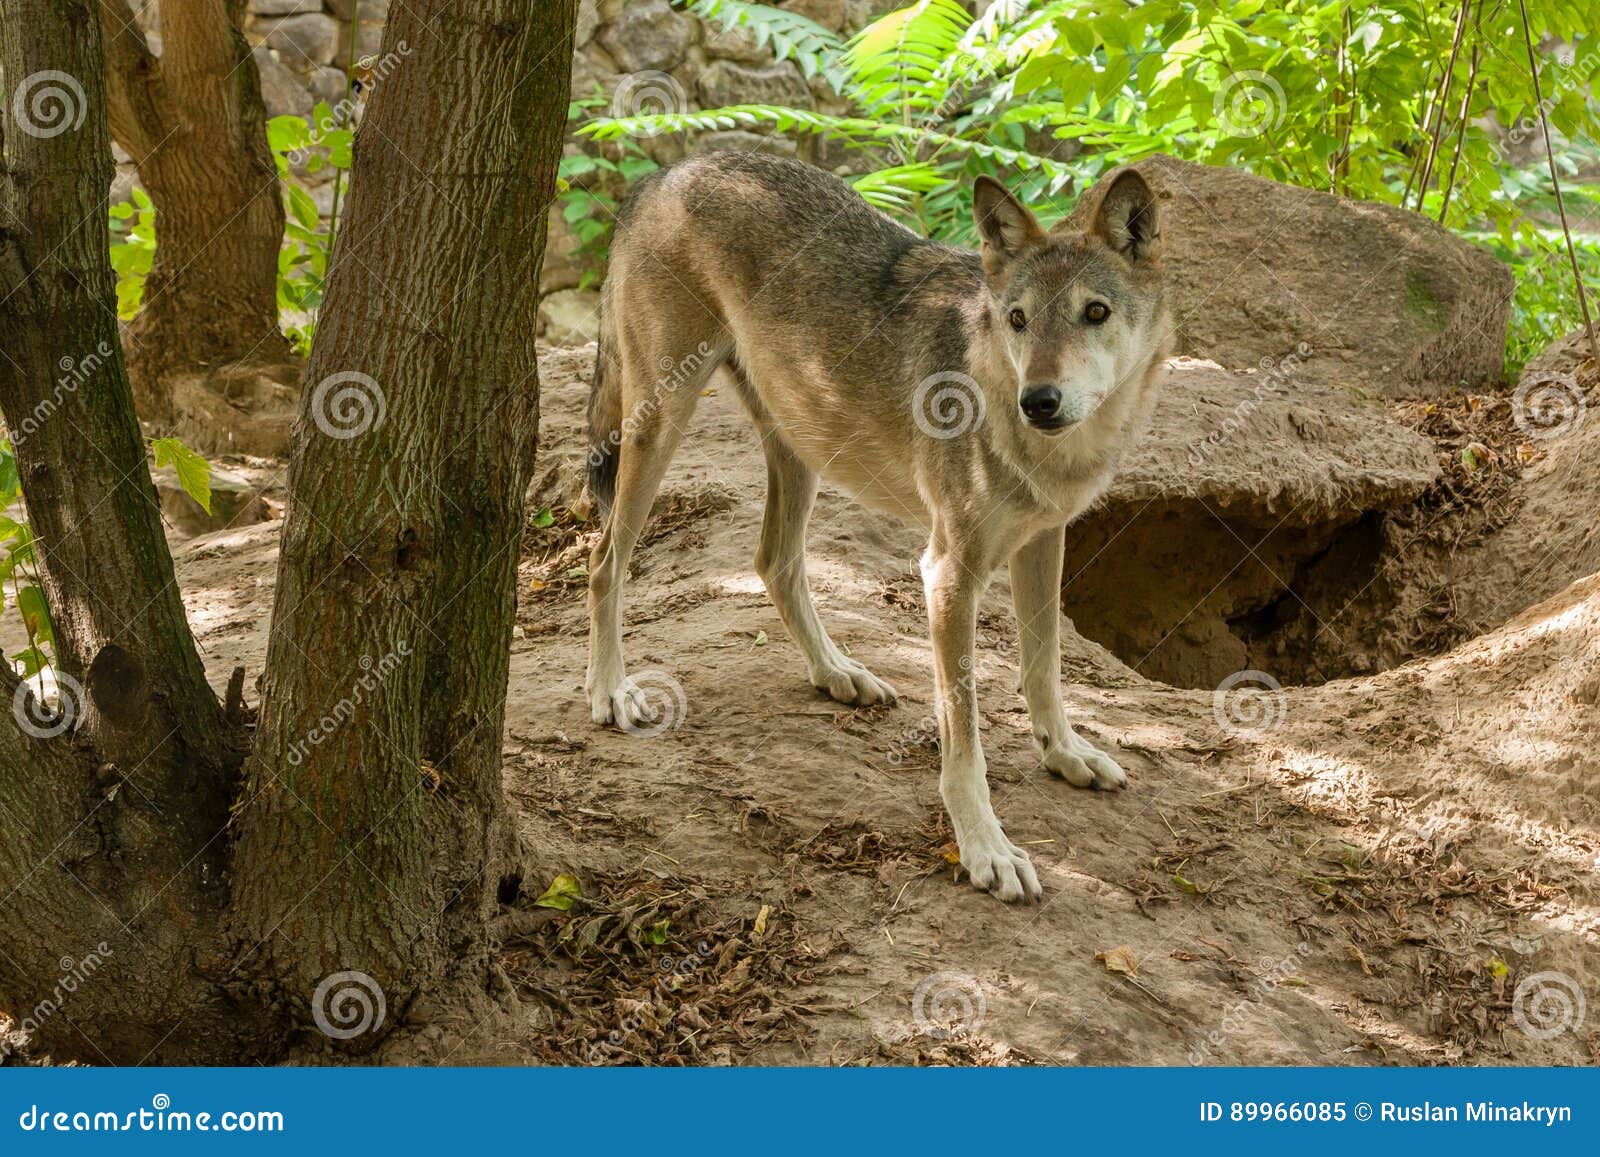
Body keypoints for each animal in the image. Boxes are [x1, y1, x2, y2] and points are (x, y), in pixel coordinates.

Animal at [584, 152, 1170, 903]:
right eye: (1018, 319)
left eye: (1094, 313)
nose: (1038, 401)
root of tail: (666, 172)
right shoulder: (947, 572)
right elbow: (965, 735)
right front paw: (985, 848)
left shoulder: (1044, 540)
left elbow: (1044, 668)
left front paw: (1064, 753)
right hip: (662, 423)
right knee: (605, 558)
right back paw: (610, 691)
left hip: (800, 442)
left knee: (773, 561)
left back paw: (838, 672)